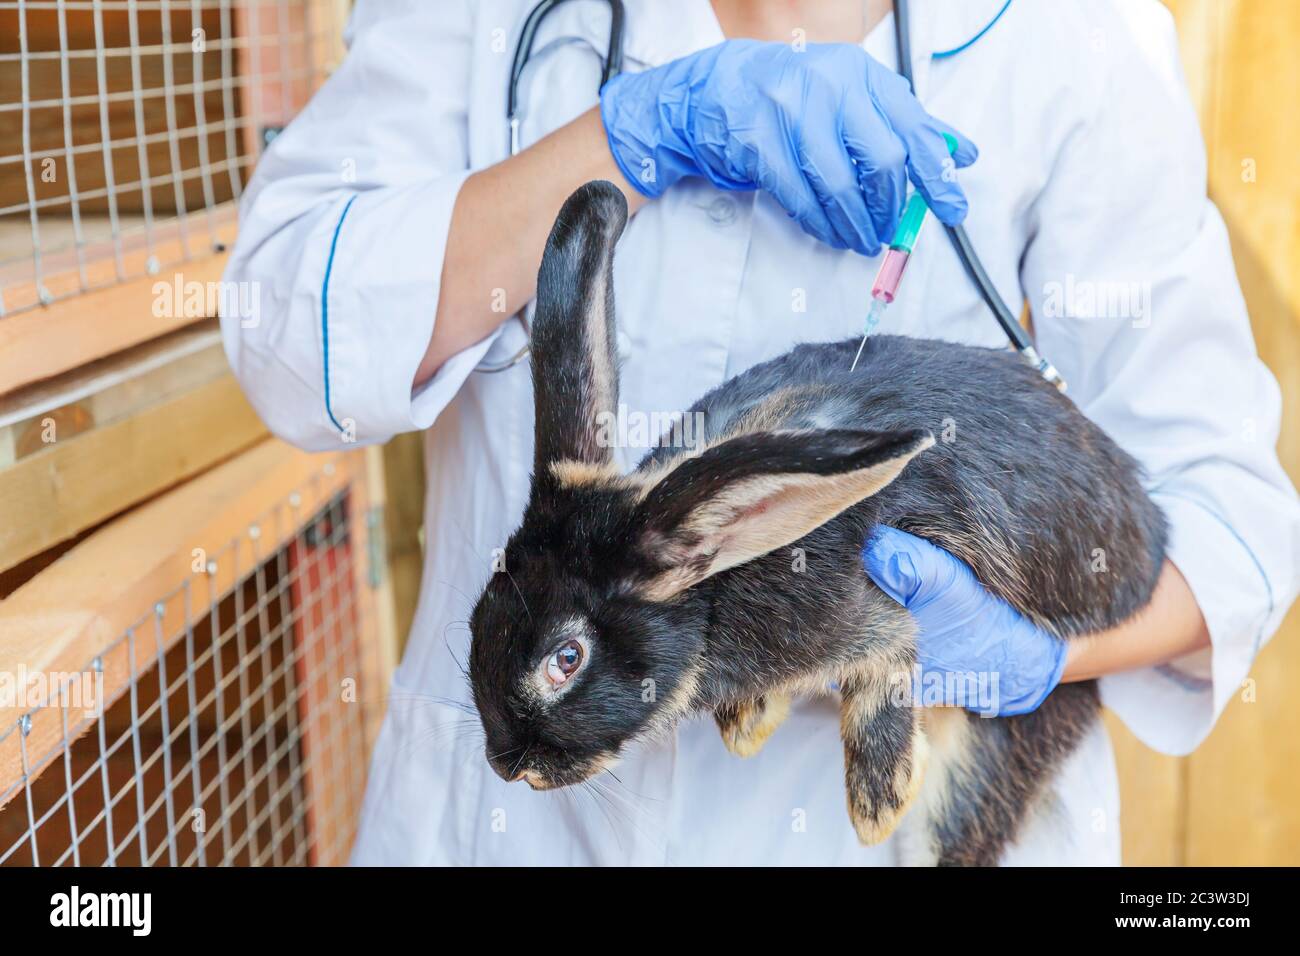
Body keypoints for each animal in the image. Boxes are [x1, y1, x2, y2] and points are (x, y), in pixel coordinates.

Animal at [467, 180, 1167, 866]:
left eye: (567, 658)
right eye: (480, 610)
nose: (507, 767)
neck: (714, 585)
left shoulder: (877, 615)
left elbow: (888, 664)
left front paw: (876, 805)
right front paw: (748, 725)